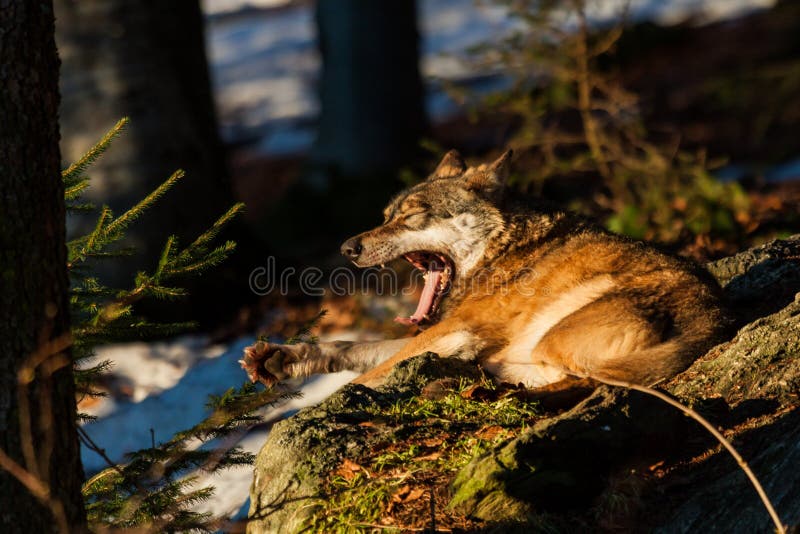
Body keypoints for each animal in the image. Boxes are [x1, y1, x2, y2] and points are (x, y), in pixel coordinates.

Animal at [240, 150, 733, 392]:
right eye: (385, 217)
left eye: (411, 216)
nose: (347, 248)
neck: (504, 250)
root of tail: (715, 320)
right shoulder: (437, 332)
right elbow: (356, 346)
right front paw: (286, 357)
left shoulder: (456, 329)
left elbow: (366, 374)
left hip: (555, 340)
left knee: (585, 382)